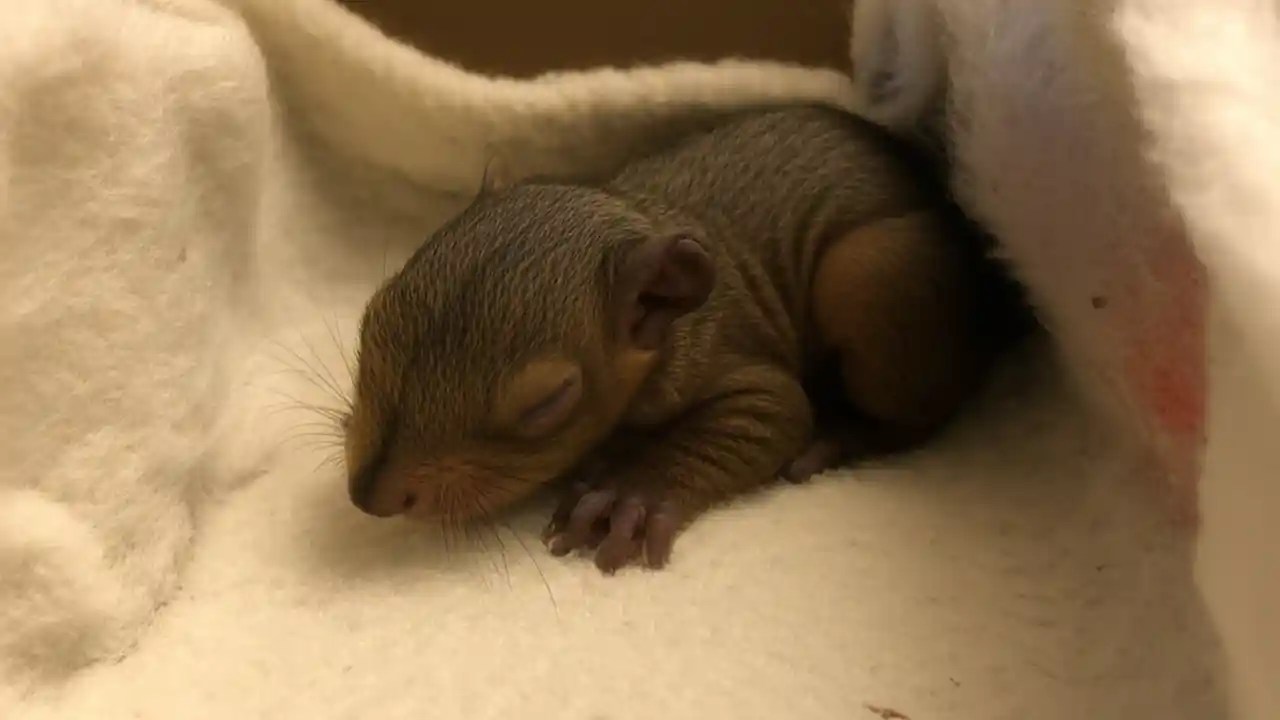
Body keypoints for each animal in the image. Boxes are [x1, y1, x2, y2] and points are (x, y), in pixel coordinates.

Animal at [342, 106, 1029, 573]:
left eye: (547, 404)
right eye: (370, 320)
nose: (371, 497)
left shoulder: (720, 354)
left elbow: (778, 410)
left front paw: (632, 493)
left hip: (875, 274)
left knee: (918, 411)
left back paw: (843, 432)